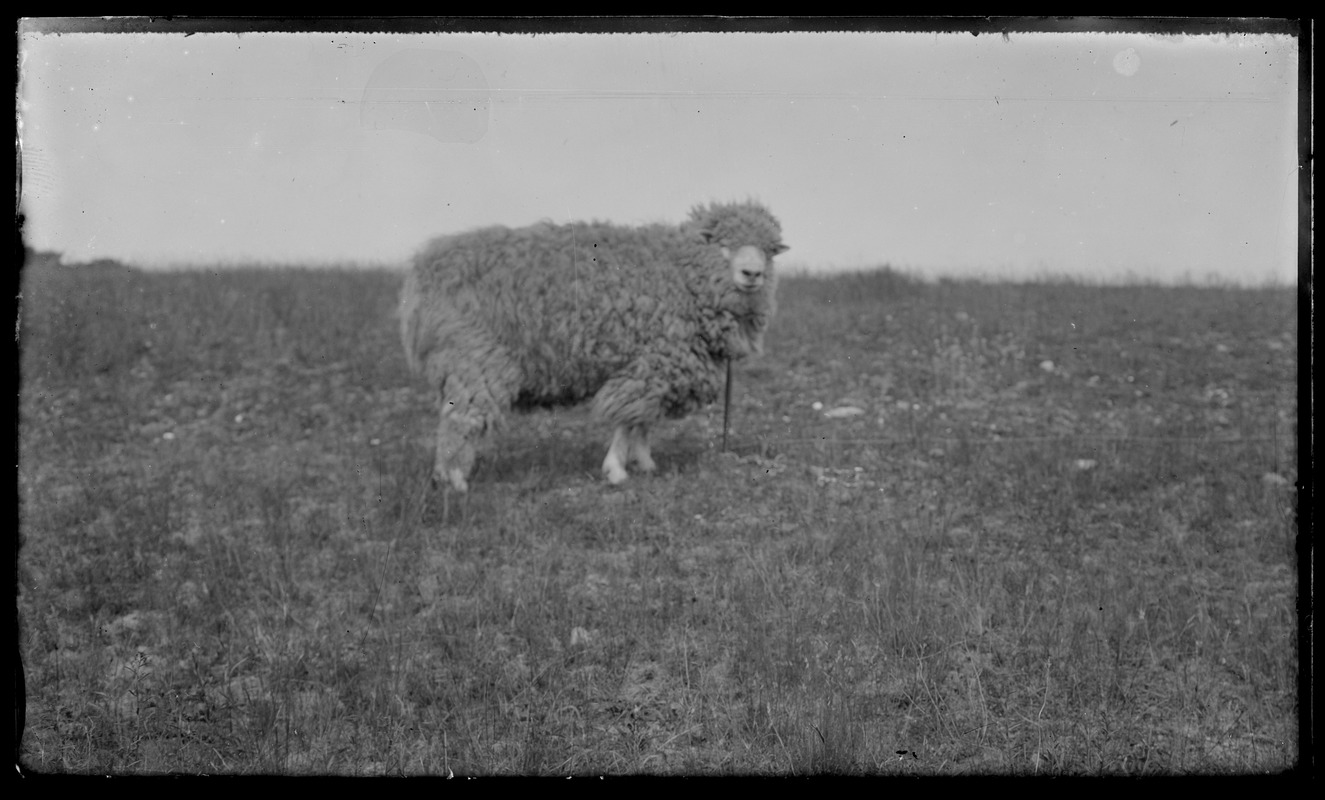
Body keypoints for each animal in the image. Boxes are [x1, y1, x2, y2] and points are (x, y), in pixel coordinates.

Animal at [400, 201, 787, 492]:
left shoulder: (655, 368)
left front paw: (644, 462)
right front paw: (616, 469)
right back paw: (453, 480)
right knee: (458, 418)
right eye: (723, 244)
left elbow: (643, 420)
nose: (752, 274)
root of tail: (427, 269)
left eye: (770, 251)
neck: (684, 276)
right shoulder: (648, 365)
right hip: (475, 357)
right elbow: (626, 420)